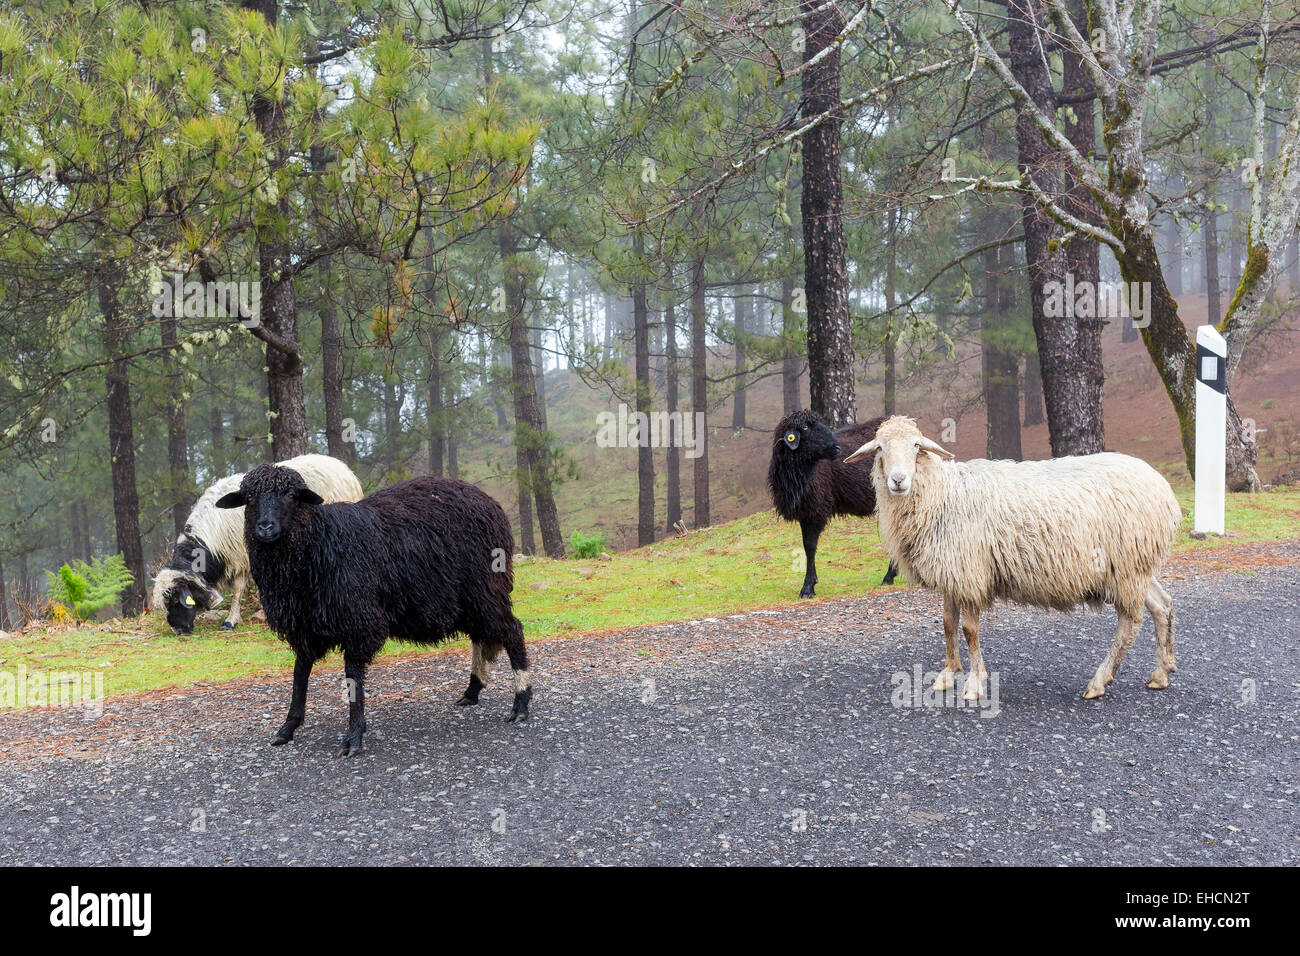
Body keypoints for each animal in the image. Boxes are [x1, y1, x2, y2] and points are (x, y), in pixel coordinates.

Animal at [151, 454, 362, 635]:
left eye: (175, 601)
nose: (178, 630)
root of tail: (341, 466)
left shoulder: (242, 555)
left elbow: (238, 590)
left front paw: (233, 620)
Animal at [216, 464, 530, 756]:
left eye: (292, 495)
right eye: (249, 498)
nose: (265, 527)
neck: (318, 542)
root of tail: (489, 502)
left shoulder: (359, 622)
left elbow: (353, 677)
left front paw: (354, 736)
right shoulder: (304, 627)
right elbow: (299, 675)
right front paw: (288, 727)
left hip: (485, 588)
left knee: (512, 631)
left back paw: (521, 703)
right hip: (468, 600)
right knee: (481, 636)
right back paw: (472, 691)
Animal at [767, 409, 898, 597]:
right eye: (805, 427)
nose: (837, 448)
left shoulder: (817, 508)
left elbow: (810, 546)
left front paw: (807, 587)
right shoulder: (805, 512)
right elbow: (807, 546)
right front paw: (811, 583)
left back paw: (890, 575)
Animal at [844, 416, 1183, 701]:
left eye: (916, 446)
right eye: (880, 448)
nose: (898, 481)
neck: (941, 495)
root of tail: (1163, 487)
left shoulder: (970, 573)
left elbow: (969, 629)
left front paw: (974, 684)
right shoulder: (952, 573)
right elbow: (948, 624)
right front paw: (947, 675)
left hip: (1127, 566)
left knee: (1131, 620)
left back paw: (1099, 681)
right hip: (1135, 565)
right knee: (1162, 605)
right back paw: (1161, 673)